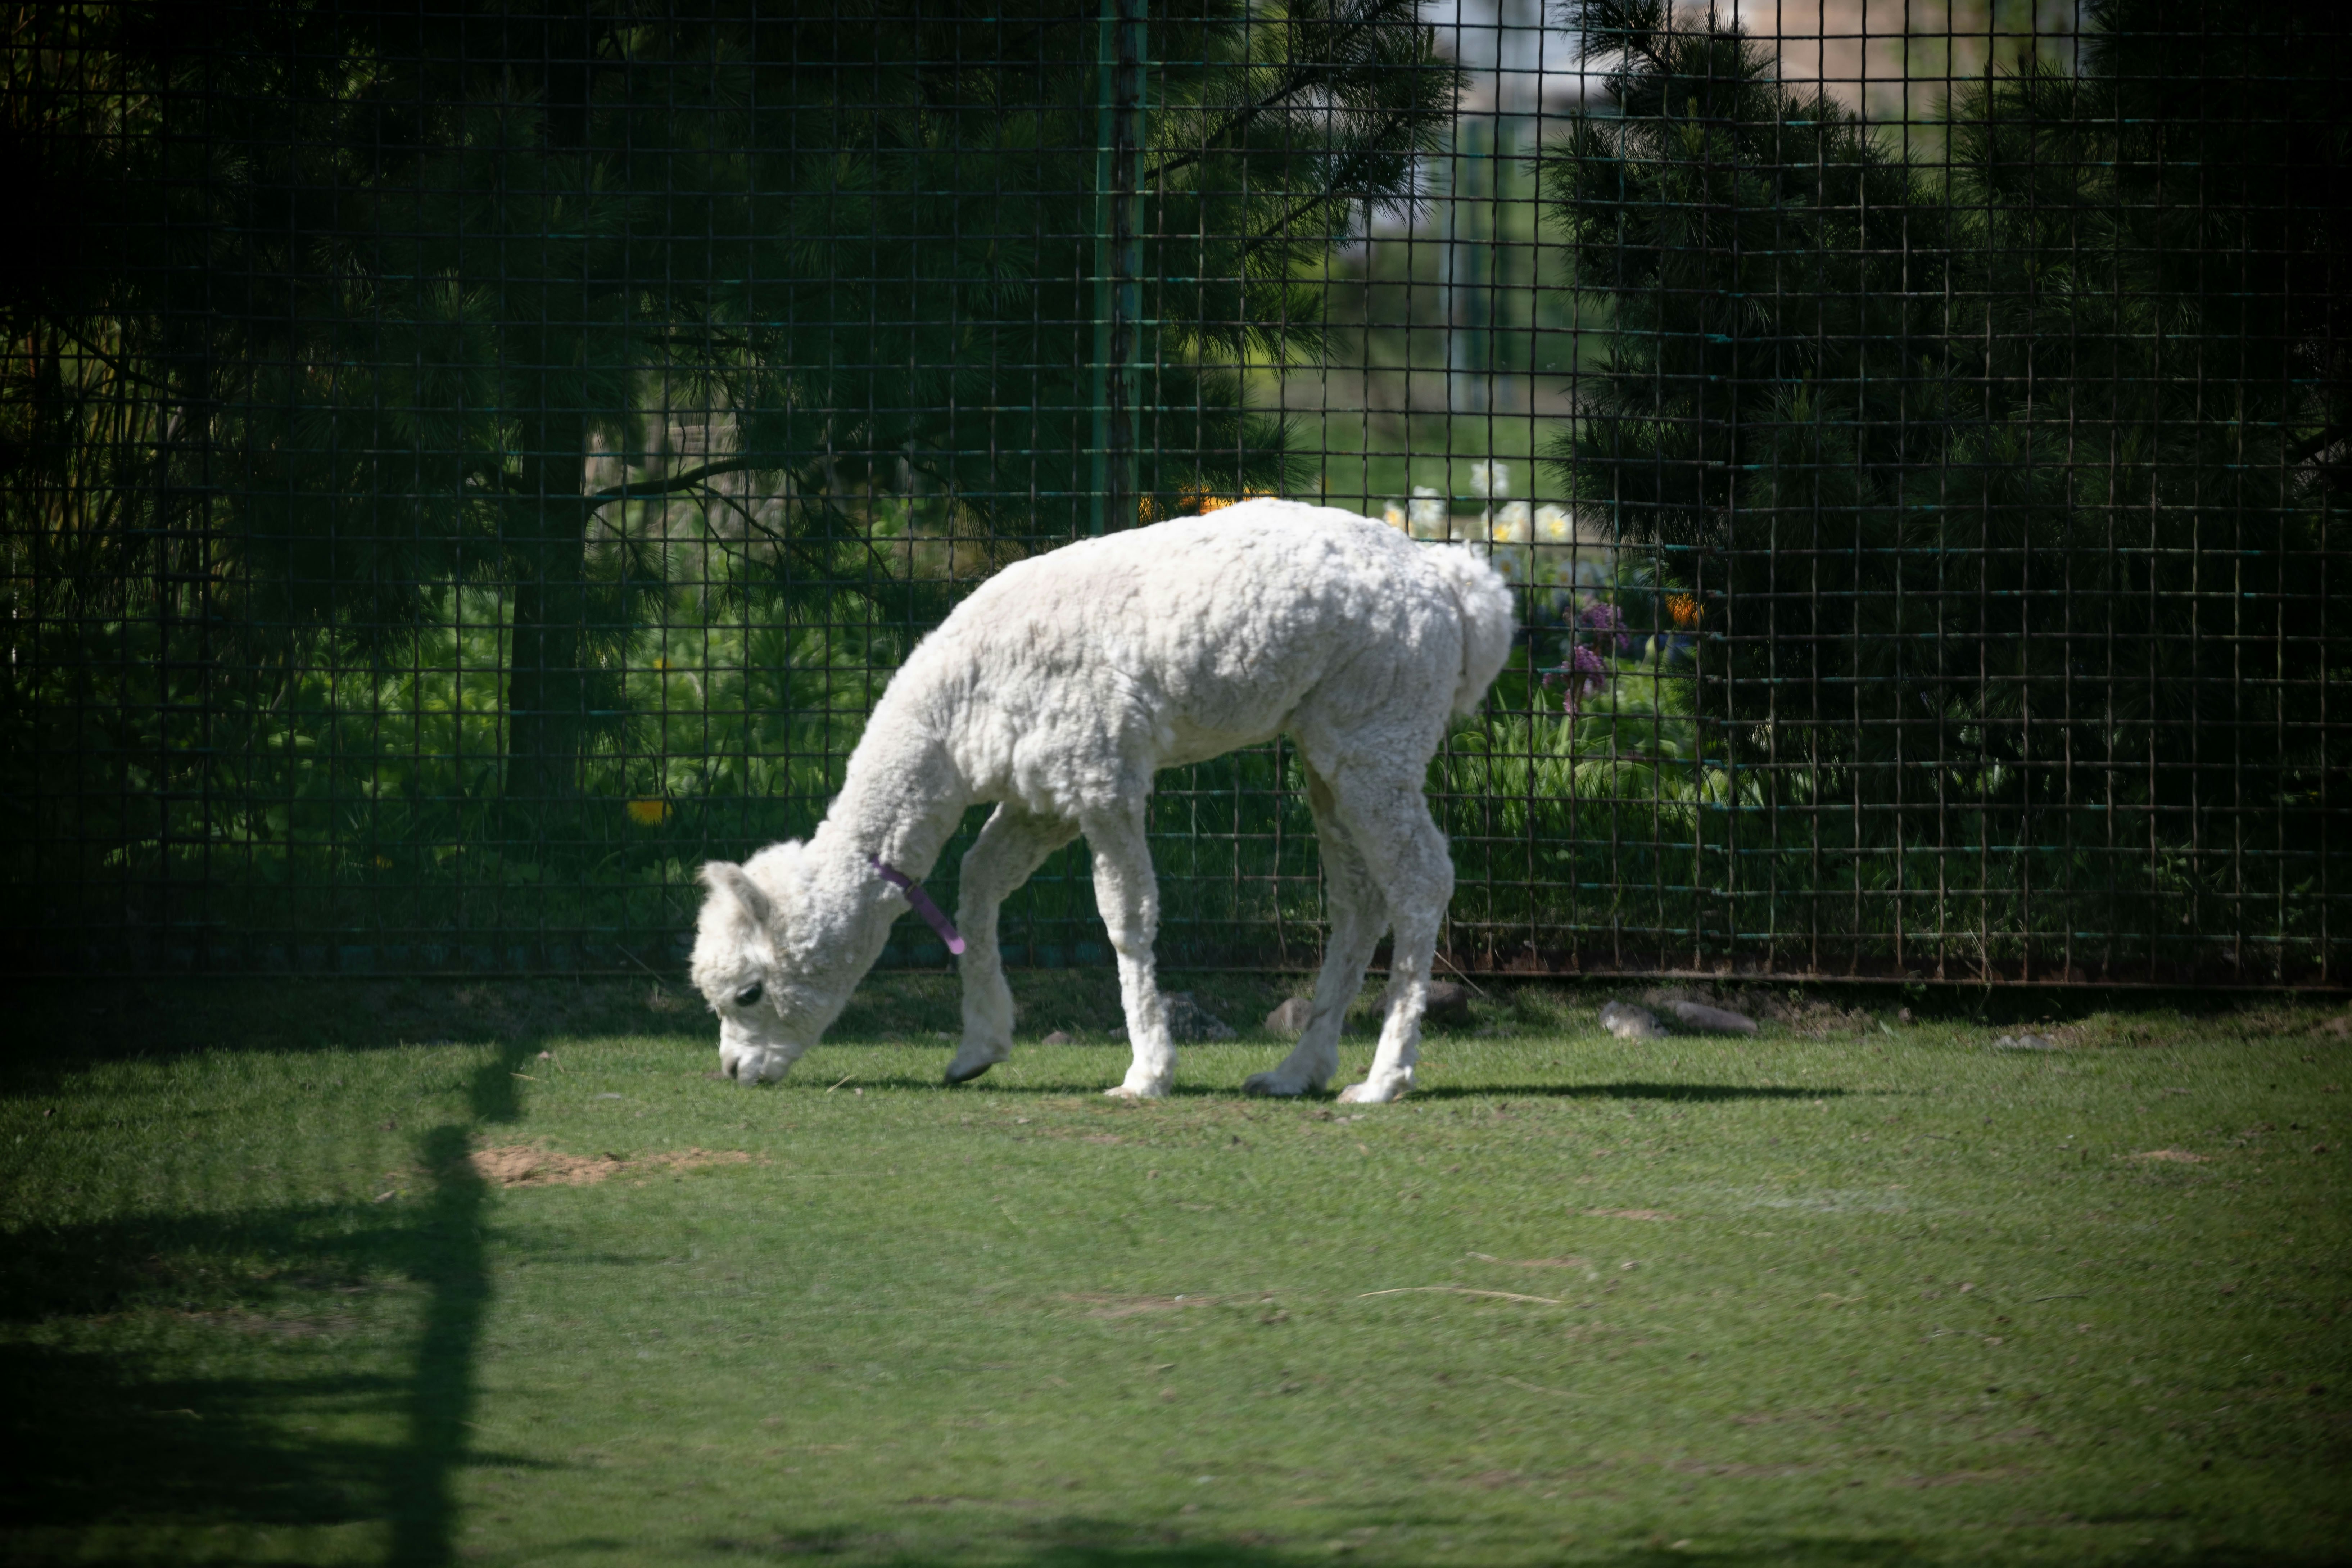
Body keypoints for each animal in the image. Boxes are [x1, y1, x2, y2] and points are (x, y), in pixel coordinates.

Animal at [689, 498, 1514, 1102]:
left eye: (750, 993)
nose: (734, 1069)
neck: (953, 718)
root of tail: (1453, 581)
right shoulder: (1041, 795)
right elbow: (977, 883)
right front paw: (977, 1049)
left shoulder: (1100, 772)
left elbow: (1125, 917)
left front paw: (1145, 1073)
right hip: (1327, 744)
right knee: (1357, 899)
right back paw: (1293, 1073)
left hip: (1379, 728)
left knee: (1421, 881)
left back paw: (1382, 1081)